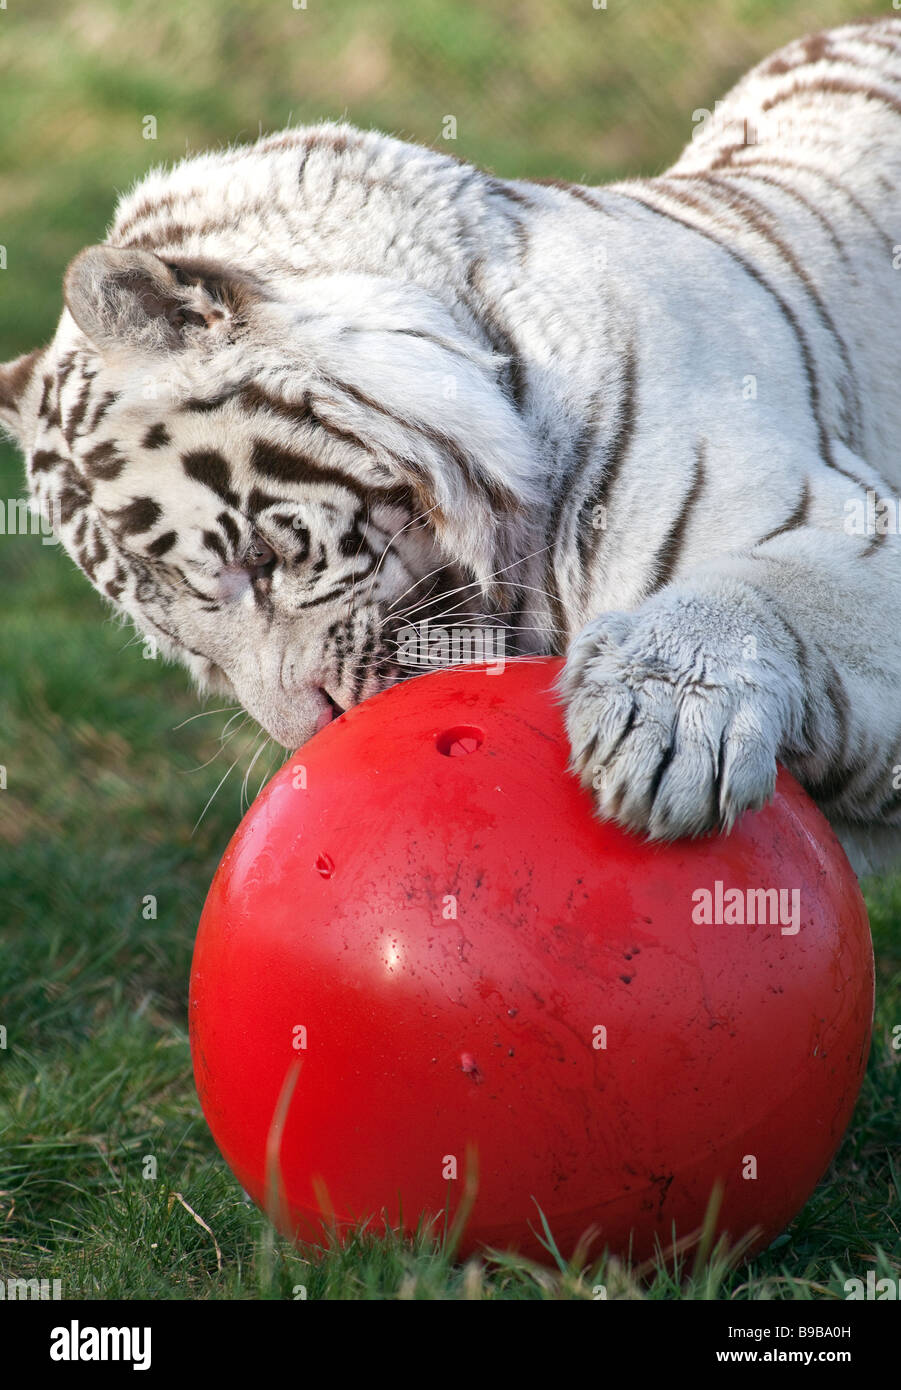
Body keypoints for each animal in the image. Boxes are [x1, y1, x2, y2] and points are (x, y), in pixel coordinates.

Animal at [3, 17, 901, 874]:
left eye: (258, 561)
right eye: (194, 655)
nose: (316, 729)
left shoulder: (847, 519)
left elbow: (757, 590)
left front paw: (662, 721)